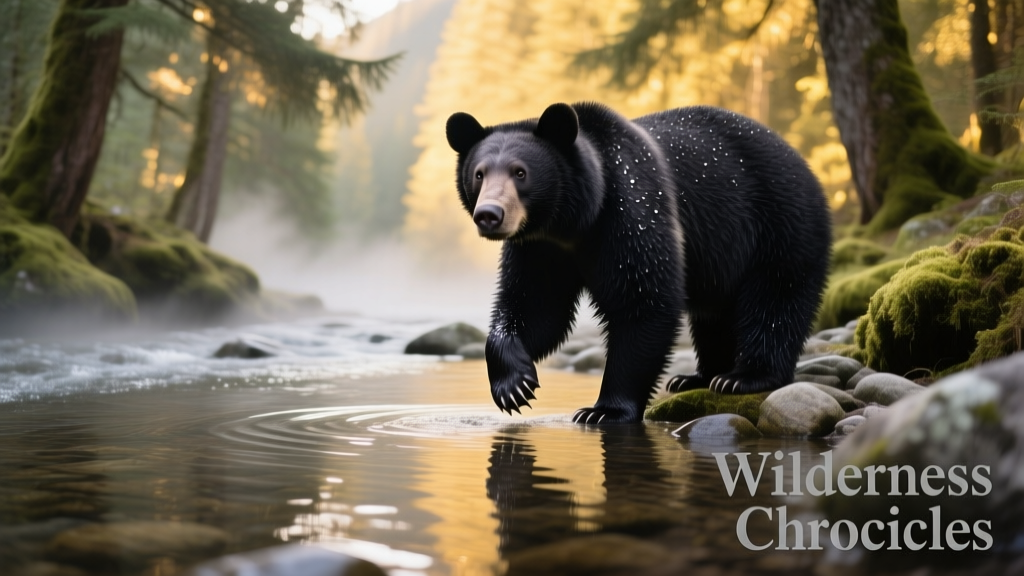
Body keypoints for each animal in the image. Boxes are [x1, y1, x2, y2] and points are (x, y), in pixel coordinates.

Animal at [445, 102, 831, 424]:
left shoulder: (632, 209)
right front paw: (514, 385)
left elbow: (643, 302)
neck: (574, 221)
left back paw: (743, 377)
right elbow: (536, 306)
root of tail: (801, 161)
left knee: (776, 296)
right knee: (714, 315)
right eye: (479, 174)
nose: (489, 215)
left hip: (777, 222)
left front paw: (605, 410)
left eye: (520, 172)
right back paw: (697, 376)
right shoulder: (539, 247)